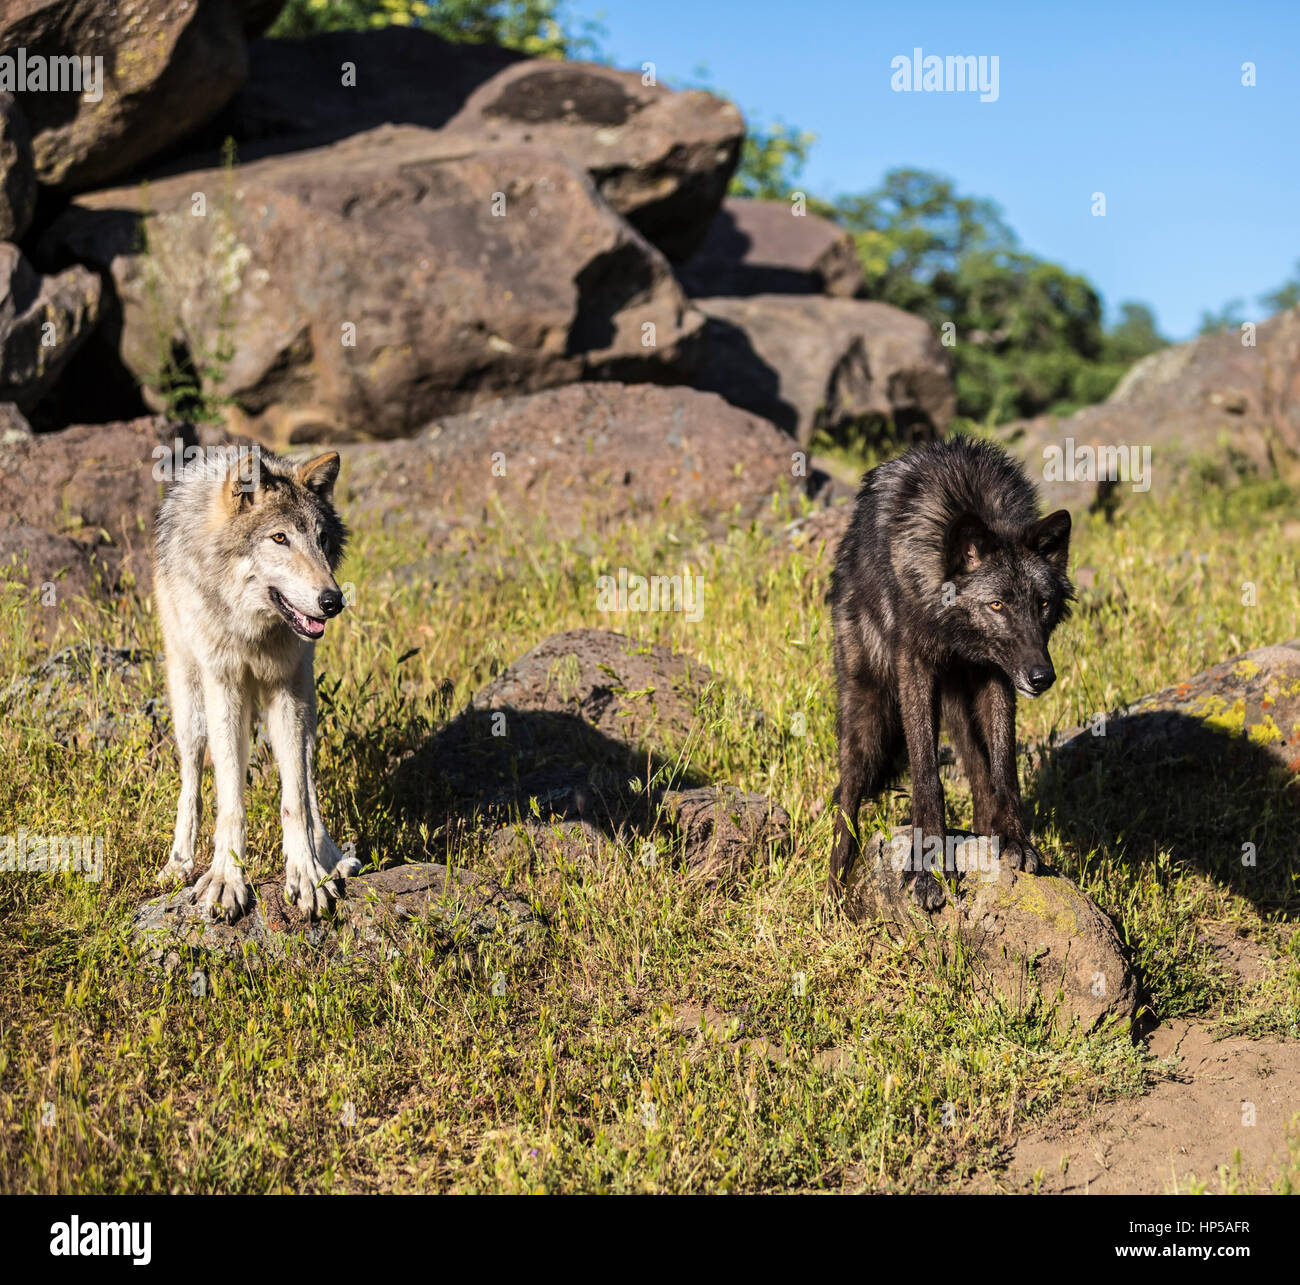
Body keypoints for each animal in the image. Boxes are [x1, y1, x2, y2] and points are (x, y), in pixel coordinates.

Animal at [152, 448, 361, 920]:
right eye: (279, 538)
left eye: (321, 539)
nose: (332, 601)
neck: (253, 630)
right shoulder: (224, 685)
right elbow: (230, 800)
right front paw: (225, 880)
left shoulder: (286, 689)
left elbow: (296, 799)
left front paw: (309, 877)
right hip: (190, 702)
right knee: (192, 779)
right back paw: (179, 864)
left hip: (306, 702)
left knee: (307, 783)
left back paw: (332, 860)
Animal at [828, 436, 1074, 910]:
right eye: (997, 605)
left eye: (1043, 604)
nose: (1041, 677)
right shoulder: (914, 666)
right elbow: (926, 775)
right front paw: (927, 868)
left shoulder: (996, 675)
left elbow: (1003, 769)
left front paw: (1017, 841)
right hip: (868, 711)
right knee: (846, 801)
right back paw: (831, 898)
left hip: (960, 705)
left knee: (979, 774)